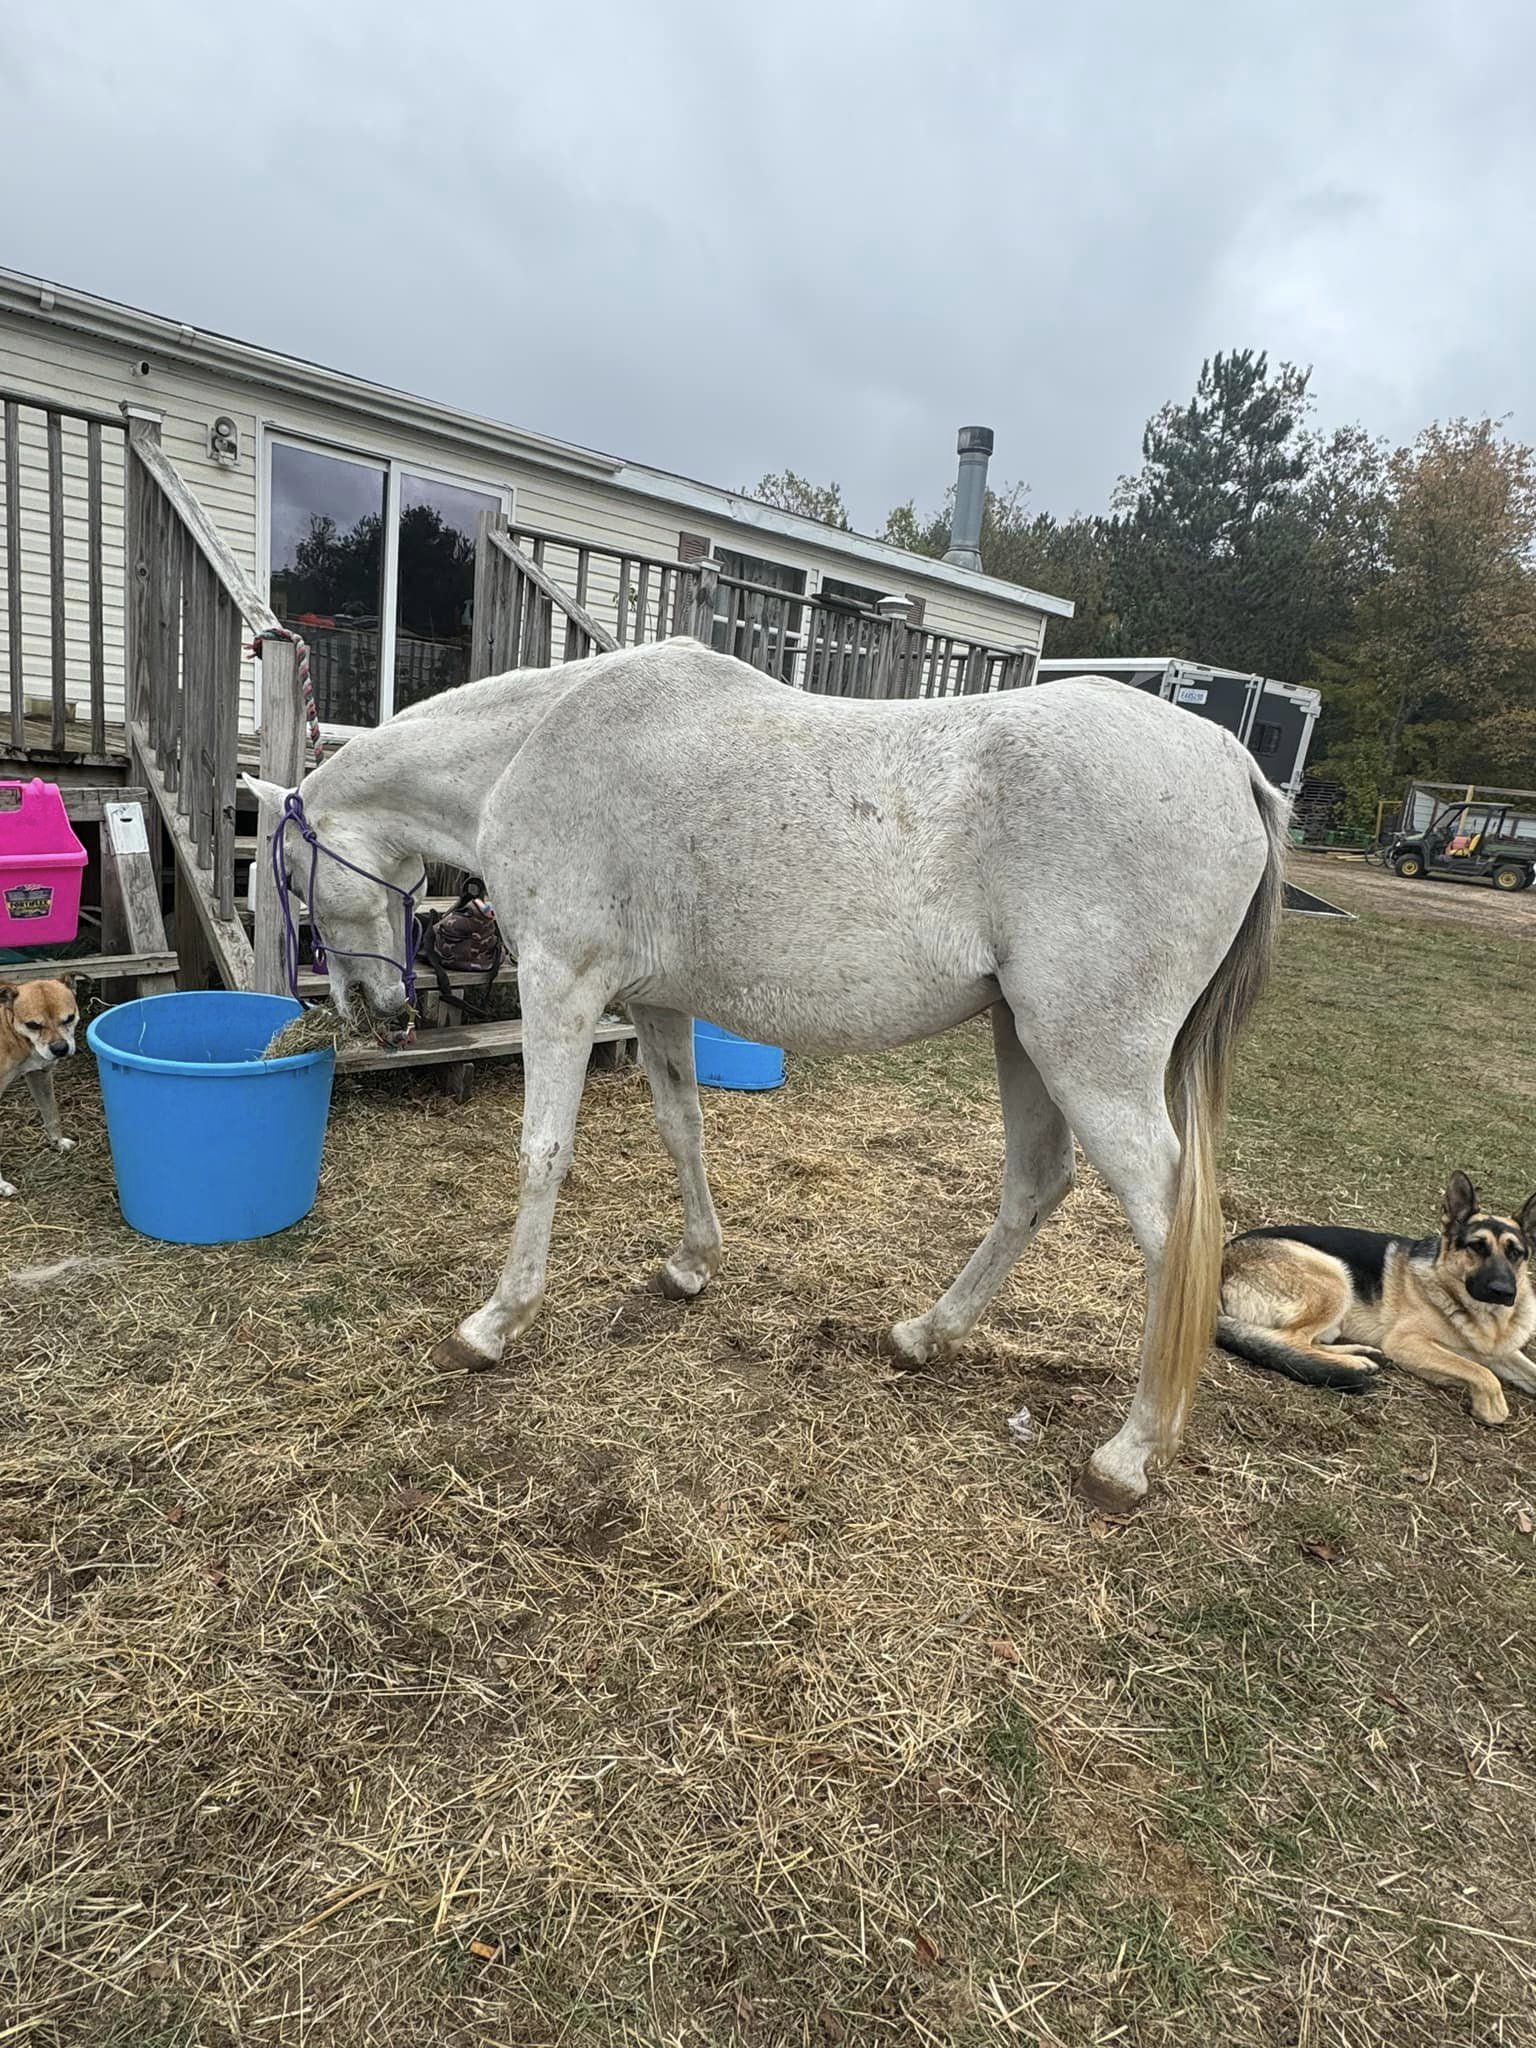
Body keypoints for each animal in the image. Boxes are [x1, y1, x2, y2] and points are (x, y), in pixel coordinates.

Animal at [244, 638, 1286, 1511]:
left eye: (287, 874)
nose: (366, 1006)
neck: (534, 747)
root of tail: (1231, 764)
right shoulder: (654, 1002)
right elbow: (682, 1125)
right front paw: (692, 1265)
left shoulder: (561, 984)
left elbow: (544, 1151)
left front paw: (496, 1323)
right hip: (1023, 1039)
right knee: (1037, 1185)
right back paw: (924, 1335)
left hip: (1086, 1058)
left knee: (1171, 1230)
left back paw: (1129, 1453)